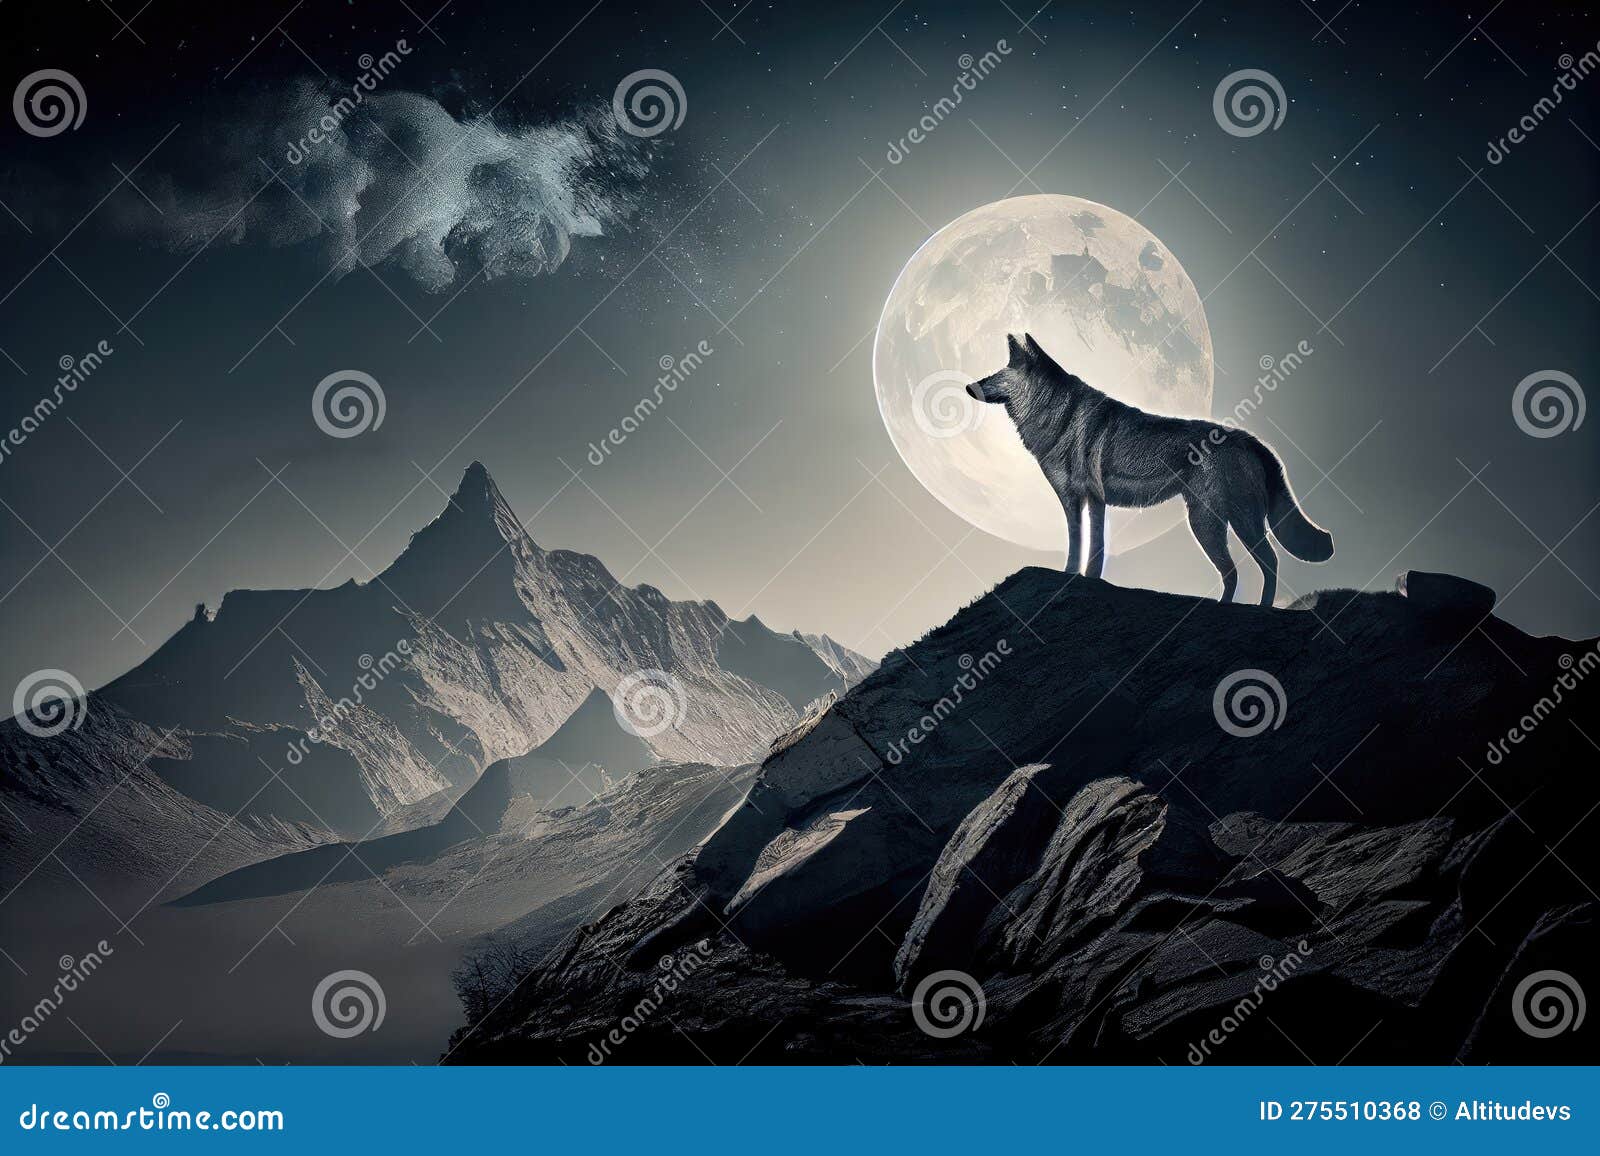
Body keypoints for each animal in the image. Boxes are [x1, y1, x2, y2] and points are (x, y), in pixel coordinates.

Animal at [966, 333, 1333, 605]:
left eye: (995, 374)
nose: (969, 386)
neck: (1061, 418)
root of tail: (1250, 439)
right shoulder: (1072, 501)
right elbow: (1075, 545)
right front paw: (1069, 575)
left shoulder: (1095, 499)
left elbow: (1095, 550)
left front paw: (1089, 579)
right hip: (1208, 524)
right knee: (1233, 572)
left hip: (1234, 521)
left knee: (1269, 562)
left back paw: (1262, 608)